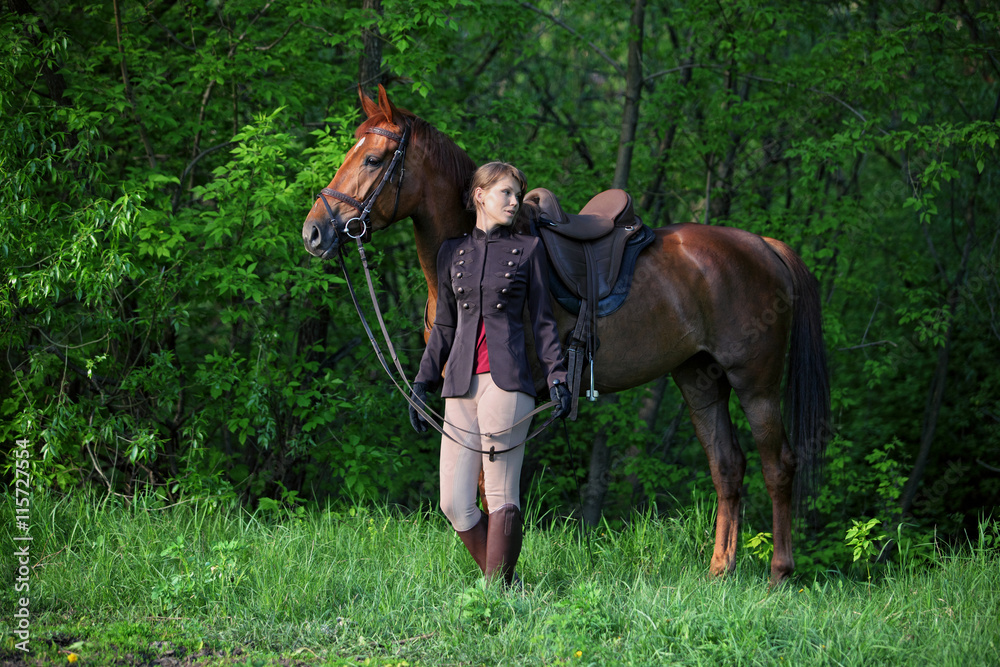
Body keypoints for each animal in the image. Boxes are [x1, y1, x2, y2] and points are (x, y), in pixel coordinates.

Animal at [302, 84, 830, 585]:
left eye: (372, 159)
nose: (314, 232)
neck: (480, 245)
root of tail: (764, 247)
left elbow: (493, 492)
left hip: (755, 383)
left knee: (778, 466)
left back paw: (779, 573)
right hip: (699, 379)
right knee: (727, 466)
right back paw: (720, 570)